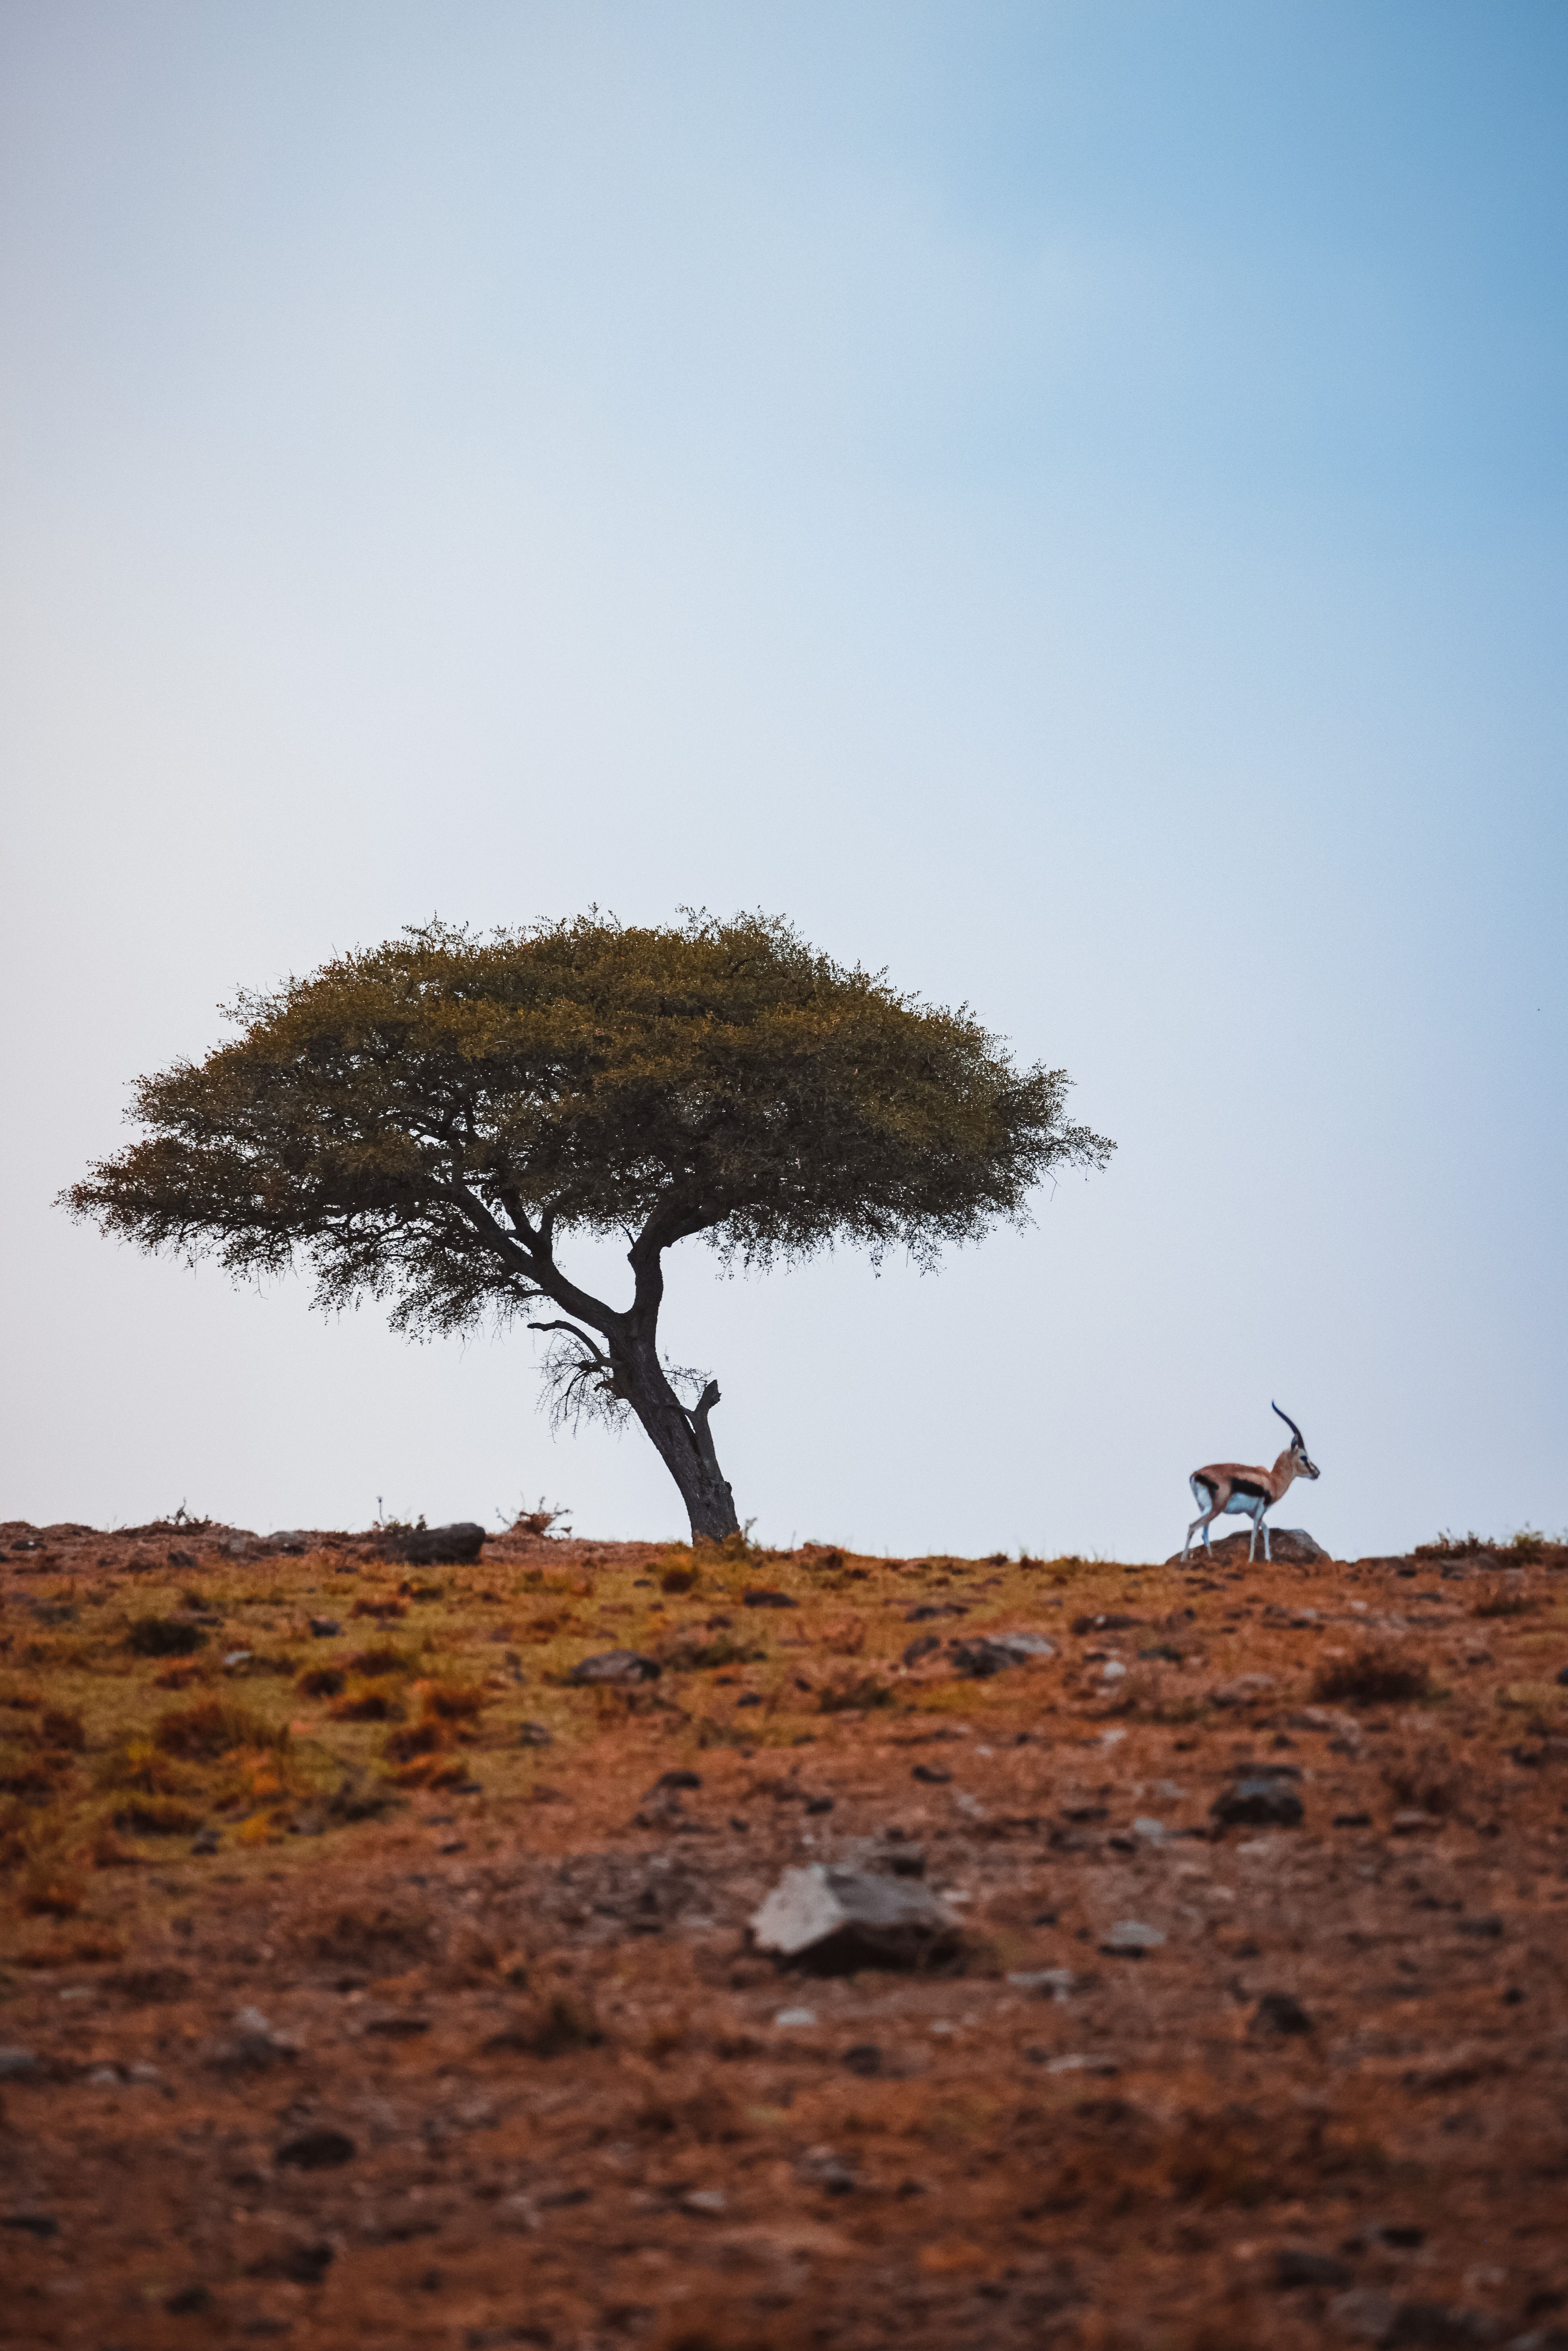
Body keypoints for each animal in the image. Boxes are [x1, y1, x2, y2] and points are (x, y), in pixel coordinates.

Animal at [1182, 1403, 1320, 1563]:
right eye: (1304, 1457)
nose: (1317, 1473)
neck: (1272, 1480)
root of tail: (1196, 1475)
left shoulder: (1252, 1513)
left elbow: (1266, 1530)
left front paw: (1268, 1559)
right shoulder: (1260, 1510)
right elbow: (1255, 1533)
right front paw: (1251, 1561)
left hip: (1205, 1508)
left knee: (1204, 1531)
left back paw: (1210, 1558)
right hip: (1216, 1509)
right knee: (1193, 1527)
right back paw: (1183, 1562)